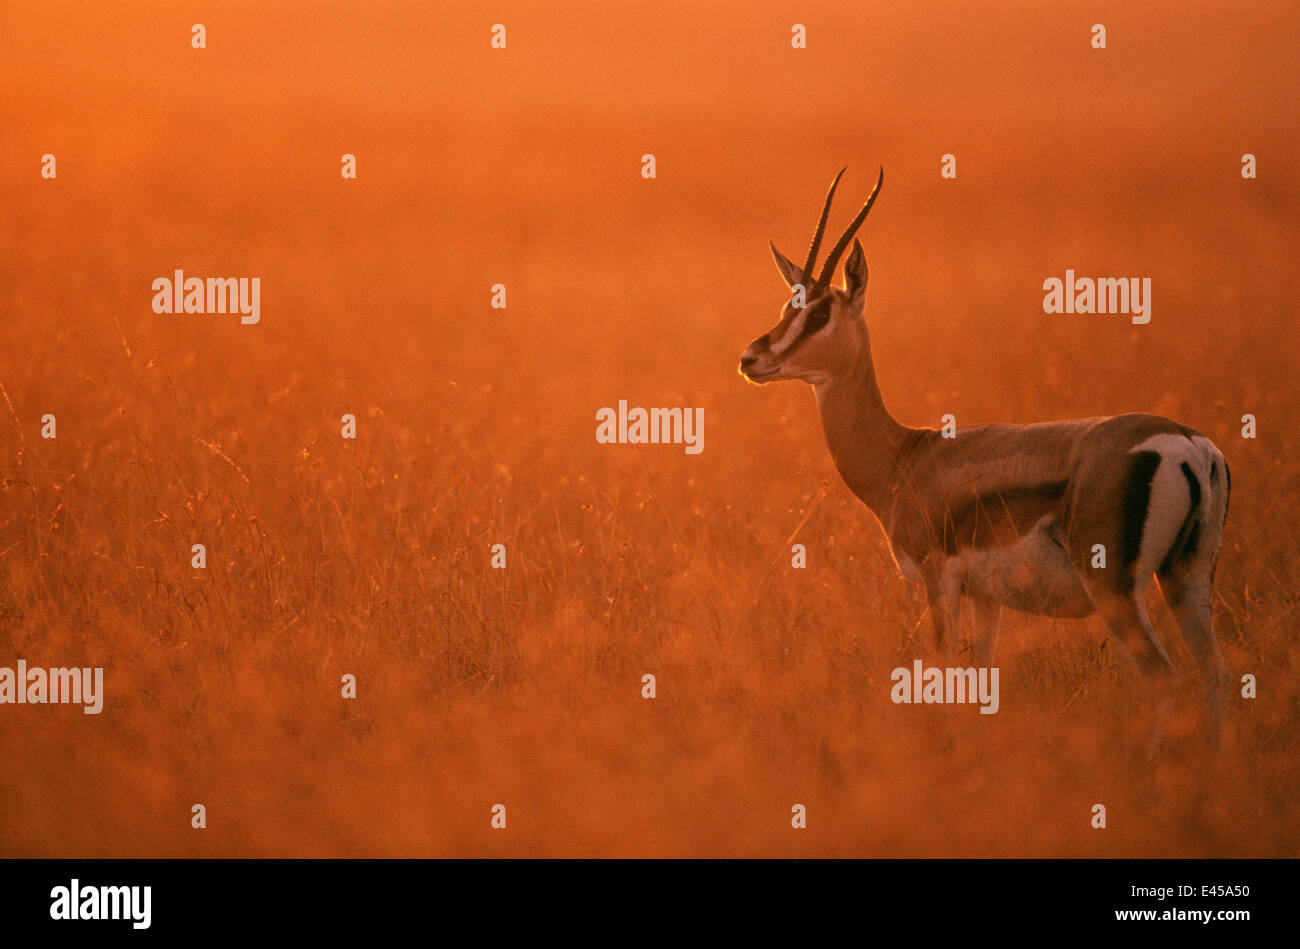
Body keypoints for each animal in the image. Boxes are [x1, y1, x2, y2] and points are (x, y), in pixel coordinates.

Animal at [739, 167, 1231, 738]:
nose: (752, 358)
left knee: (1163, 679)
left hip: (1116, 590)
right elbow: (980, 676)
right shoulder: (985, 597)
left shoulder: (939, 581)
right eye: (788, 305)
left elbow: (943, 671)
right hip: (1186, 580)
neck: (906, 456)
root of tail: (1187, 444)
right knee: (1216, 676)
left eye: (819, 313)